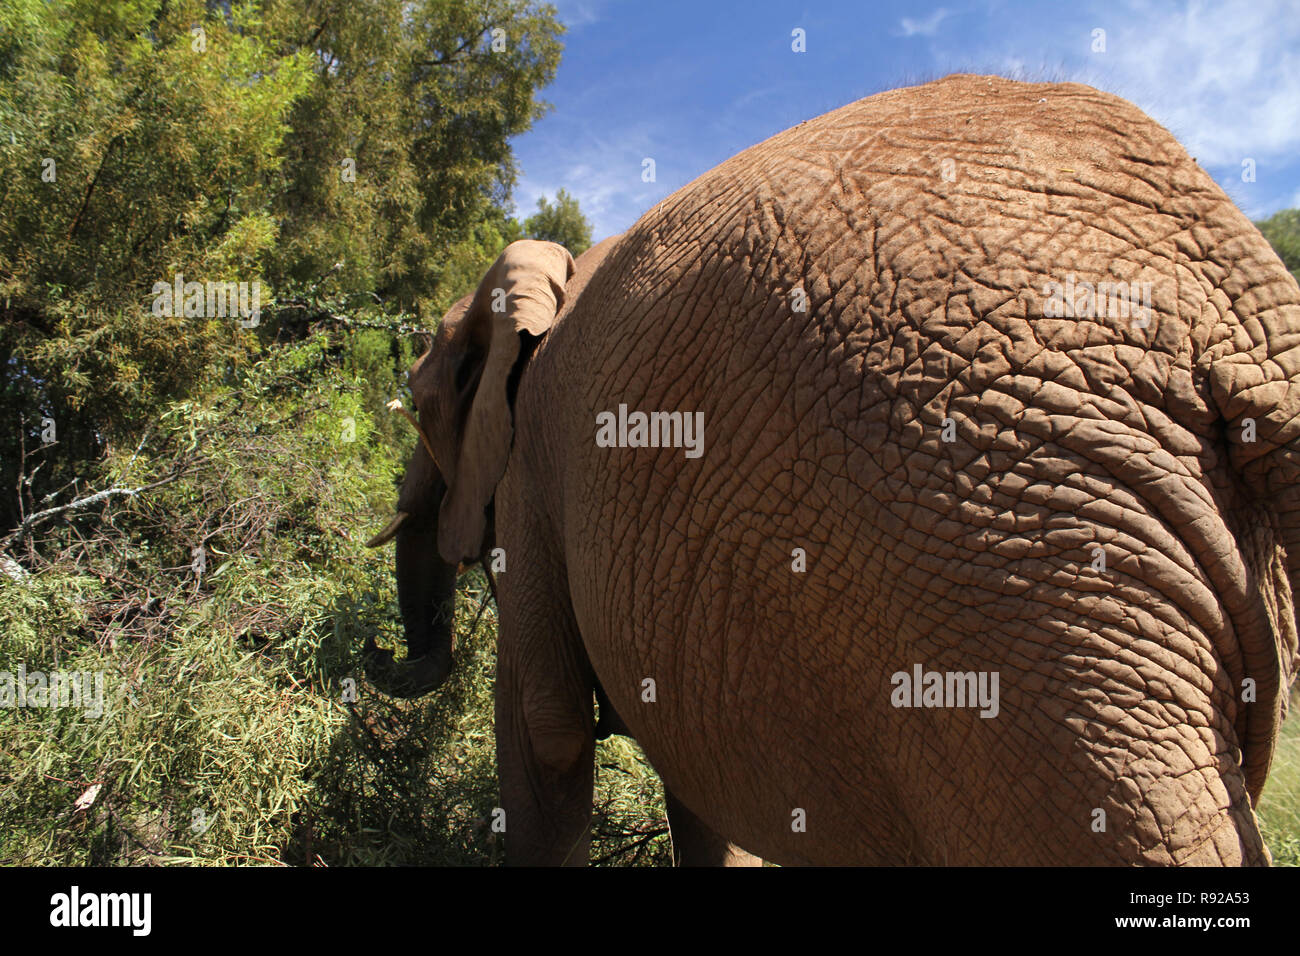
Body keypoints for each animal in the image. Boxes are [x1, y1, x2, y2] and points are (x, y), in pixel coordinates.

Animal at [366, 73, 1300, 865]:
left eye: (419, 404)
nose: (376, 655)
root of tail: (1245, 292)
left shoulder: (529, 477)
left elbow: (547, 735)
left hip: (1021, 561)